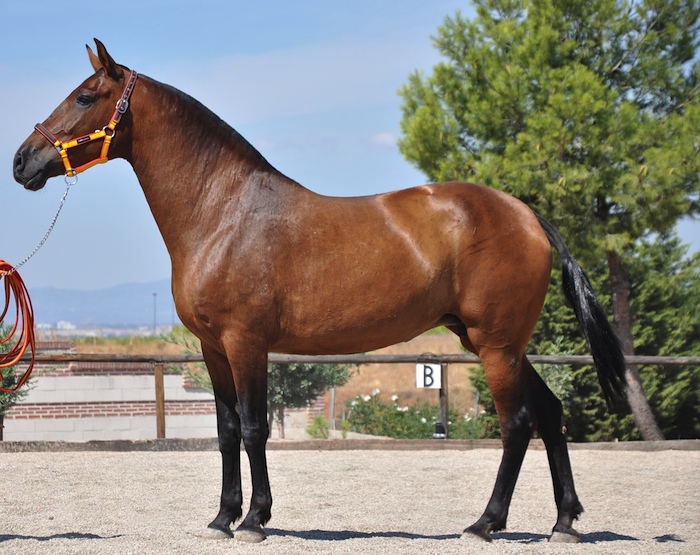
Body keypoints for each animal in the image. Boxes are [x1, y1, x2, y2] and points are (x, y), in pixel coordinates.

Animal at [13, 39, 625, 544]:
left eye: (85, 96)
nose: (21, 161)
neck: (223, 211)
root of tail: (526, 214)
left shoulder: (246, 342)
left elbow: (254, 427)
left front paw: (255, 518)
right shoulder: (213, 348)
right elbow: (226, 429)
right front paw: (222, 517)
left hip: (496, 346)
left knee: (517, 423)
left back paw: (484, 524)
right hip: (499, 344)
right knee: (549, 412)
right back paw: (564, 522)